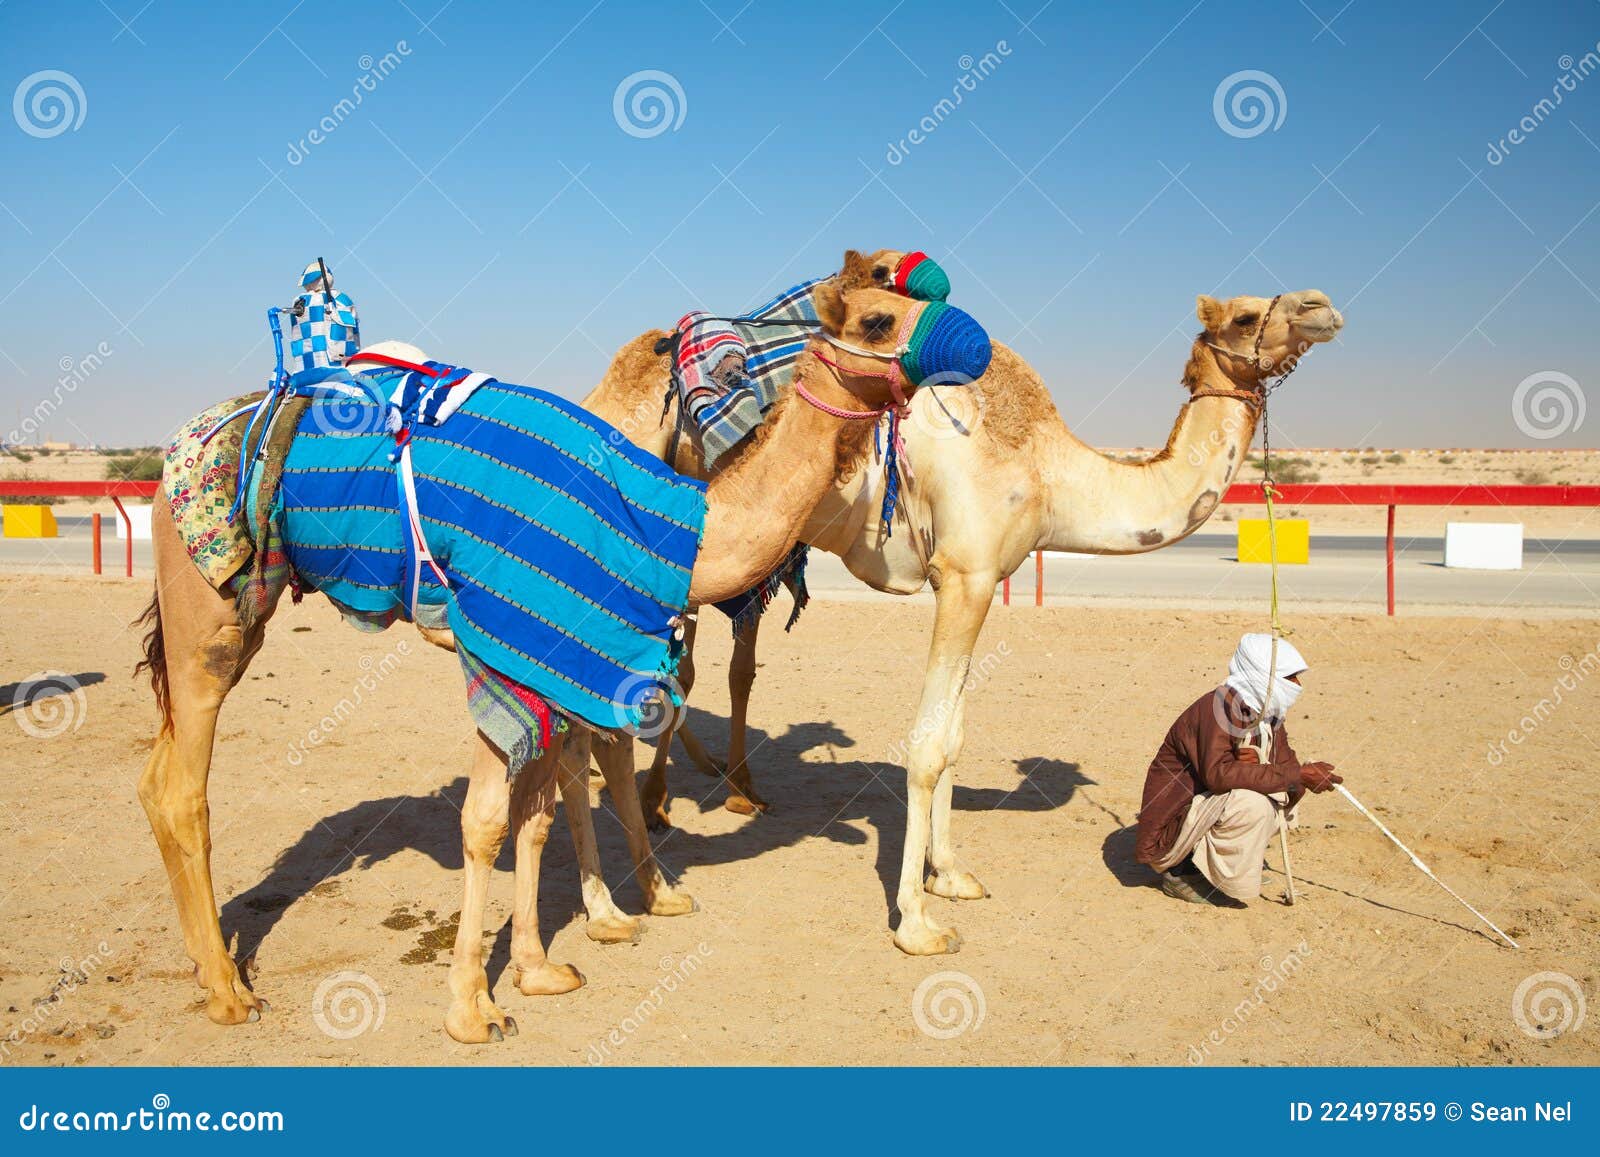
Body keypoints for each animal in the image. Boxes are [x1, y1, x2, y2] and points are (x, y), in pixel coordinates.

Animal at [134, 281, 992, 1041]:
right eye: (880, 315)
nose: (976, 343)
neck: (654, 518)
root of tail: (175, 447)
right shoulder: (511, 646)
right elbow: (488, 818)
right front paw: (473, 1009)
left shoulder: (563, 655)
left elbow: (540, 810)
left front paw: (543, 966)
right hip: (208, 607)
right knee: (183, 787)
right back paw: (228, 990)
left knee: (156, 774)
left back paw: (205, 963)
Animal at [581, 267, 1343, 956]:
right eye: (1245, 315)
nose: (1322, 306)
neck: (1050, 468)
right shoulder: (964, 575)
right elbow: (926, 747)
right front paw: (917, 921)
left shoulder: (982, 581)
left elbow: (954, 736)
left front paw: (949, 875)